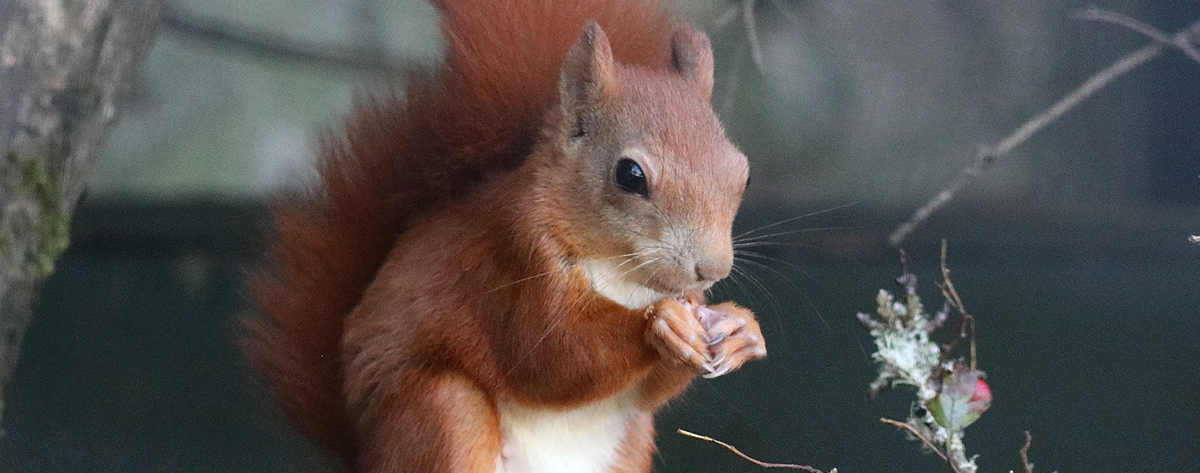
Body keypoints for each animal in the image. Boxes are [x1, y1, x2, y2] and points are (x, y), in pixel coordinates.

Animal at [243, 0, 766, 471]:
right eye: (630, 176)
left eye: (742, 173)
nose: (713, 268)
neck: (620, 271)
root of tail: (363, 453)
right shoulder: (509, 260)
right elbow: (552, 356)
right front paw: (660, 324)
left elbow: (648, 392)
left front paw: (740, 330)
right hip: (441, 412)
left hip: (631, 444)